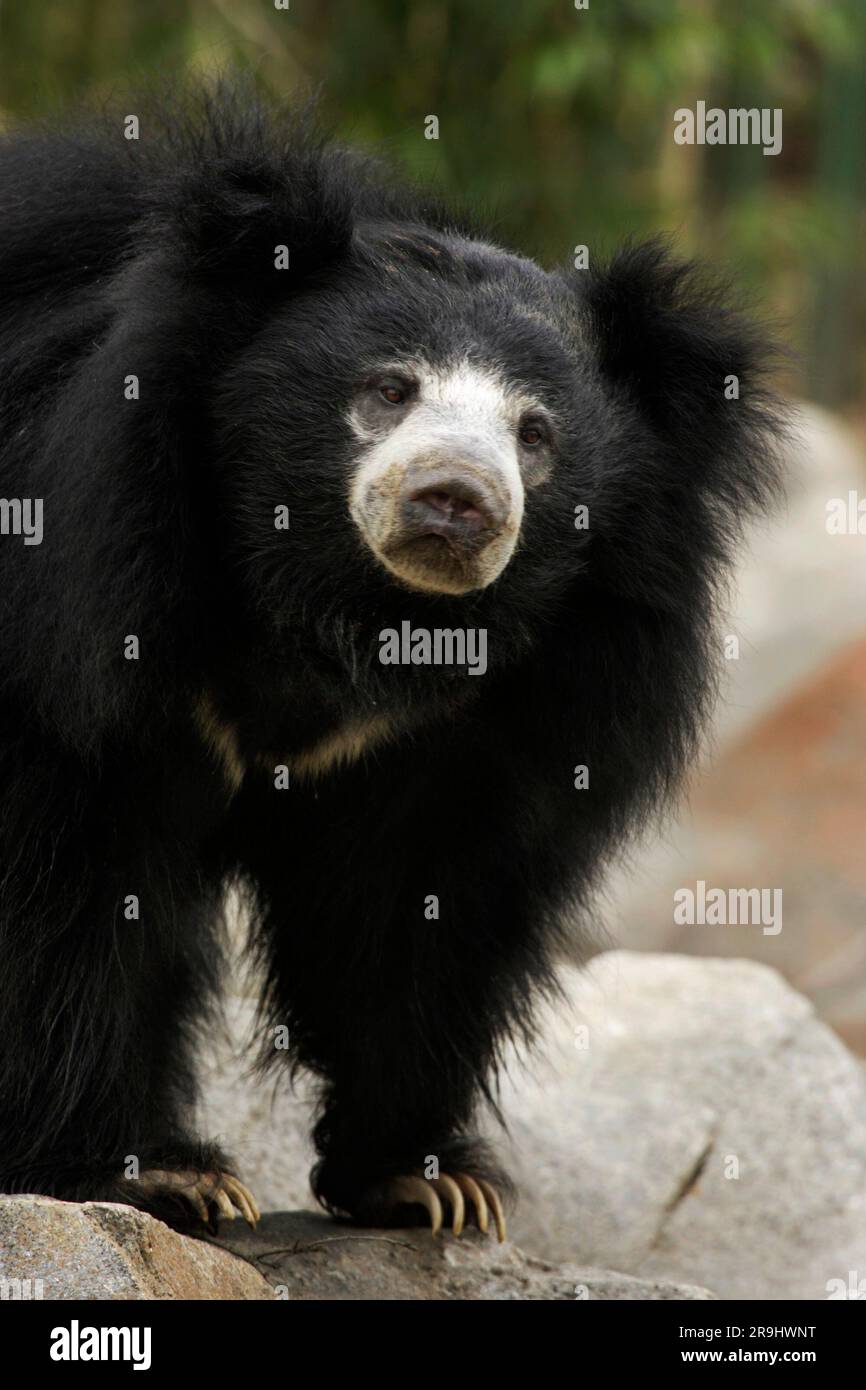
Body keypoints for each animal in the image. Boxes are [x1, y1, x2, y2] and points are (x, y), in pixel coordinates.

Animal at [0, 83, 784, 1239]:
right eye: (387, 389)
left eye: (536, 432)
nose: (455, 500)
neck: (345, 619)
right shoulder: (84, 621)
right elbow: (67, 891)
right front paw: (143, 1174)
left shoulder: (489, 714)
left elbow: (417, 904)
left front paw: (426, 1181)